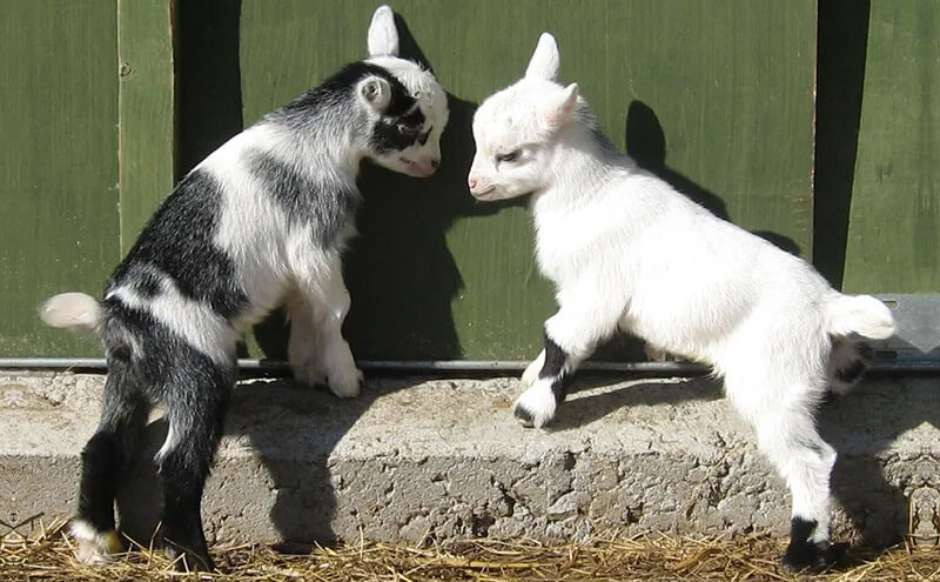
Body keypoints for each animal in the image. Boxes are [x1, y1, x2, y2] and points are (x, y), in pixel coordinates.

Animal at [39, 6, 449, 570]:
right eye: (415, 126)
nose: (434, 166)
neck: (318, 137)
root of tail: (117, 313)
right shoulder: (314, 240)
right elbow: (335, 307)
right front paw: (344, 378)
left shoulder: (298, 265)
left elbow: (304, 308)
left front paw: (306, 367)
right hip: (197, 372)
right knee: (177, 464)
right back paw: (194, 559)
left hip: (126, 375)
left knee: (103, 444)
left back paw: (96, 539)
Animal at [466, 33, 894, 571]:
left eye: (510, 154)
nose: (472, 185)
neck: (588, 196)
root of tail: (825, 306)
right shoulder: (577, 292)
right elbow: (560, 346)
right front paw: (531, 375)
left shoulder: (596, 291)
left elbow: (562, 338)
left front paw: (532, 410)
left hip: (770, 383)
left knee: (811, 459)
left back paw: (804, 551)